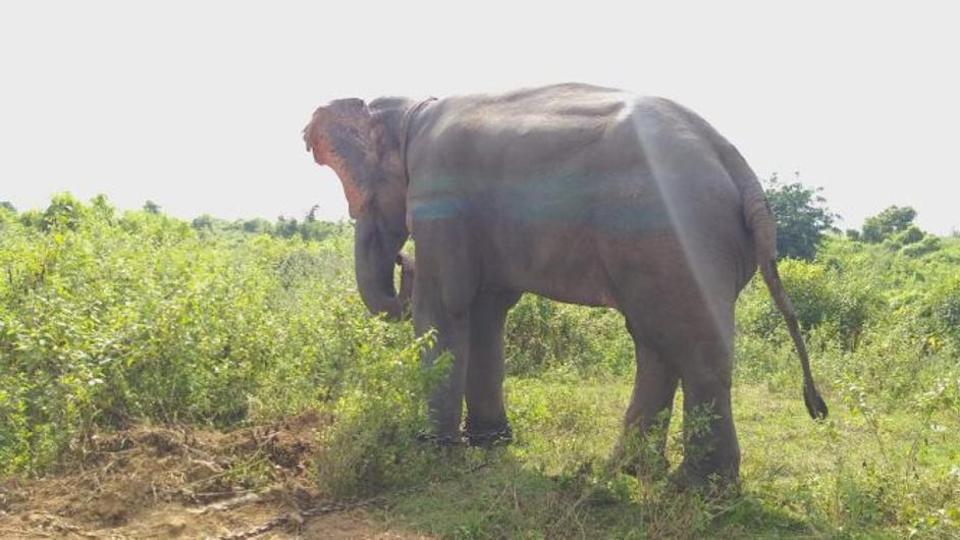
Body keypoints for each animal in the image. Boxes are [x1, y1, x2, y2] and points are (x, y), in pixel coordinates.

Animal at [303, 83, 827, 484]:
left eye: (364, 197)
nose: (401, 258)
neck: (413, 109)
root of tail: (738, 166)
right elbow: (487, 310)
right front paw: (490, 444)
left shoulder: (441, 196)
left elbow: (444, 307)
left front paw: (434, 450)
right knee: (657, 341)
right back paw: (630, 470)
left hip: (676, 236)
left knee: (691, 349)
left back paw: (695, 487)